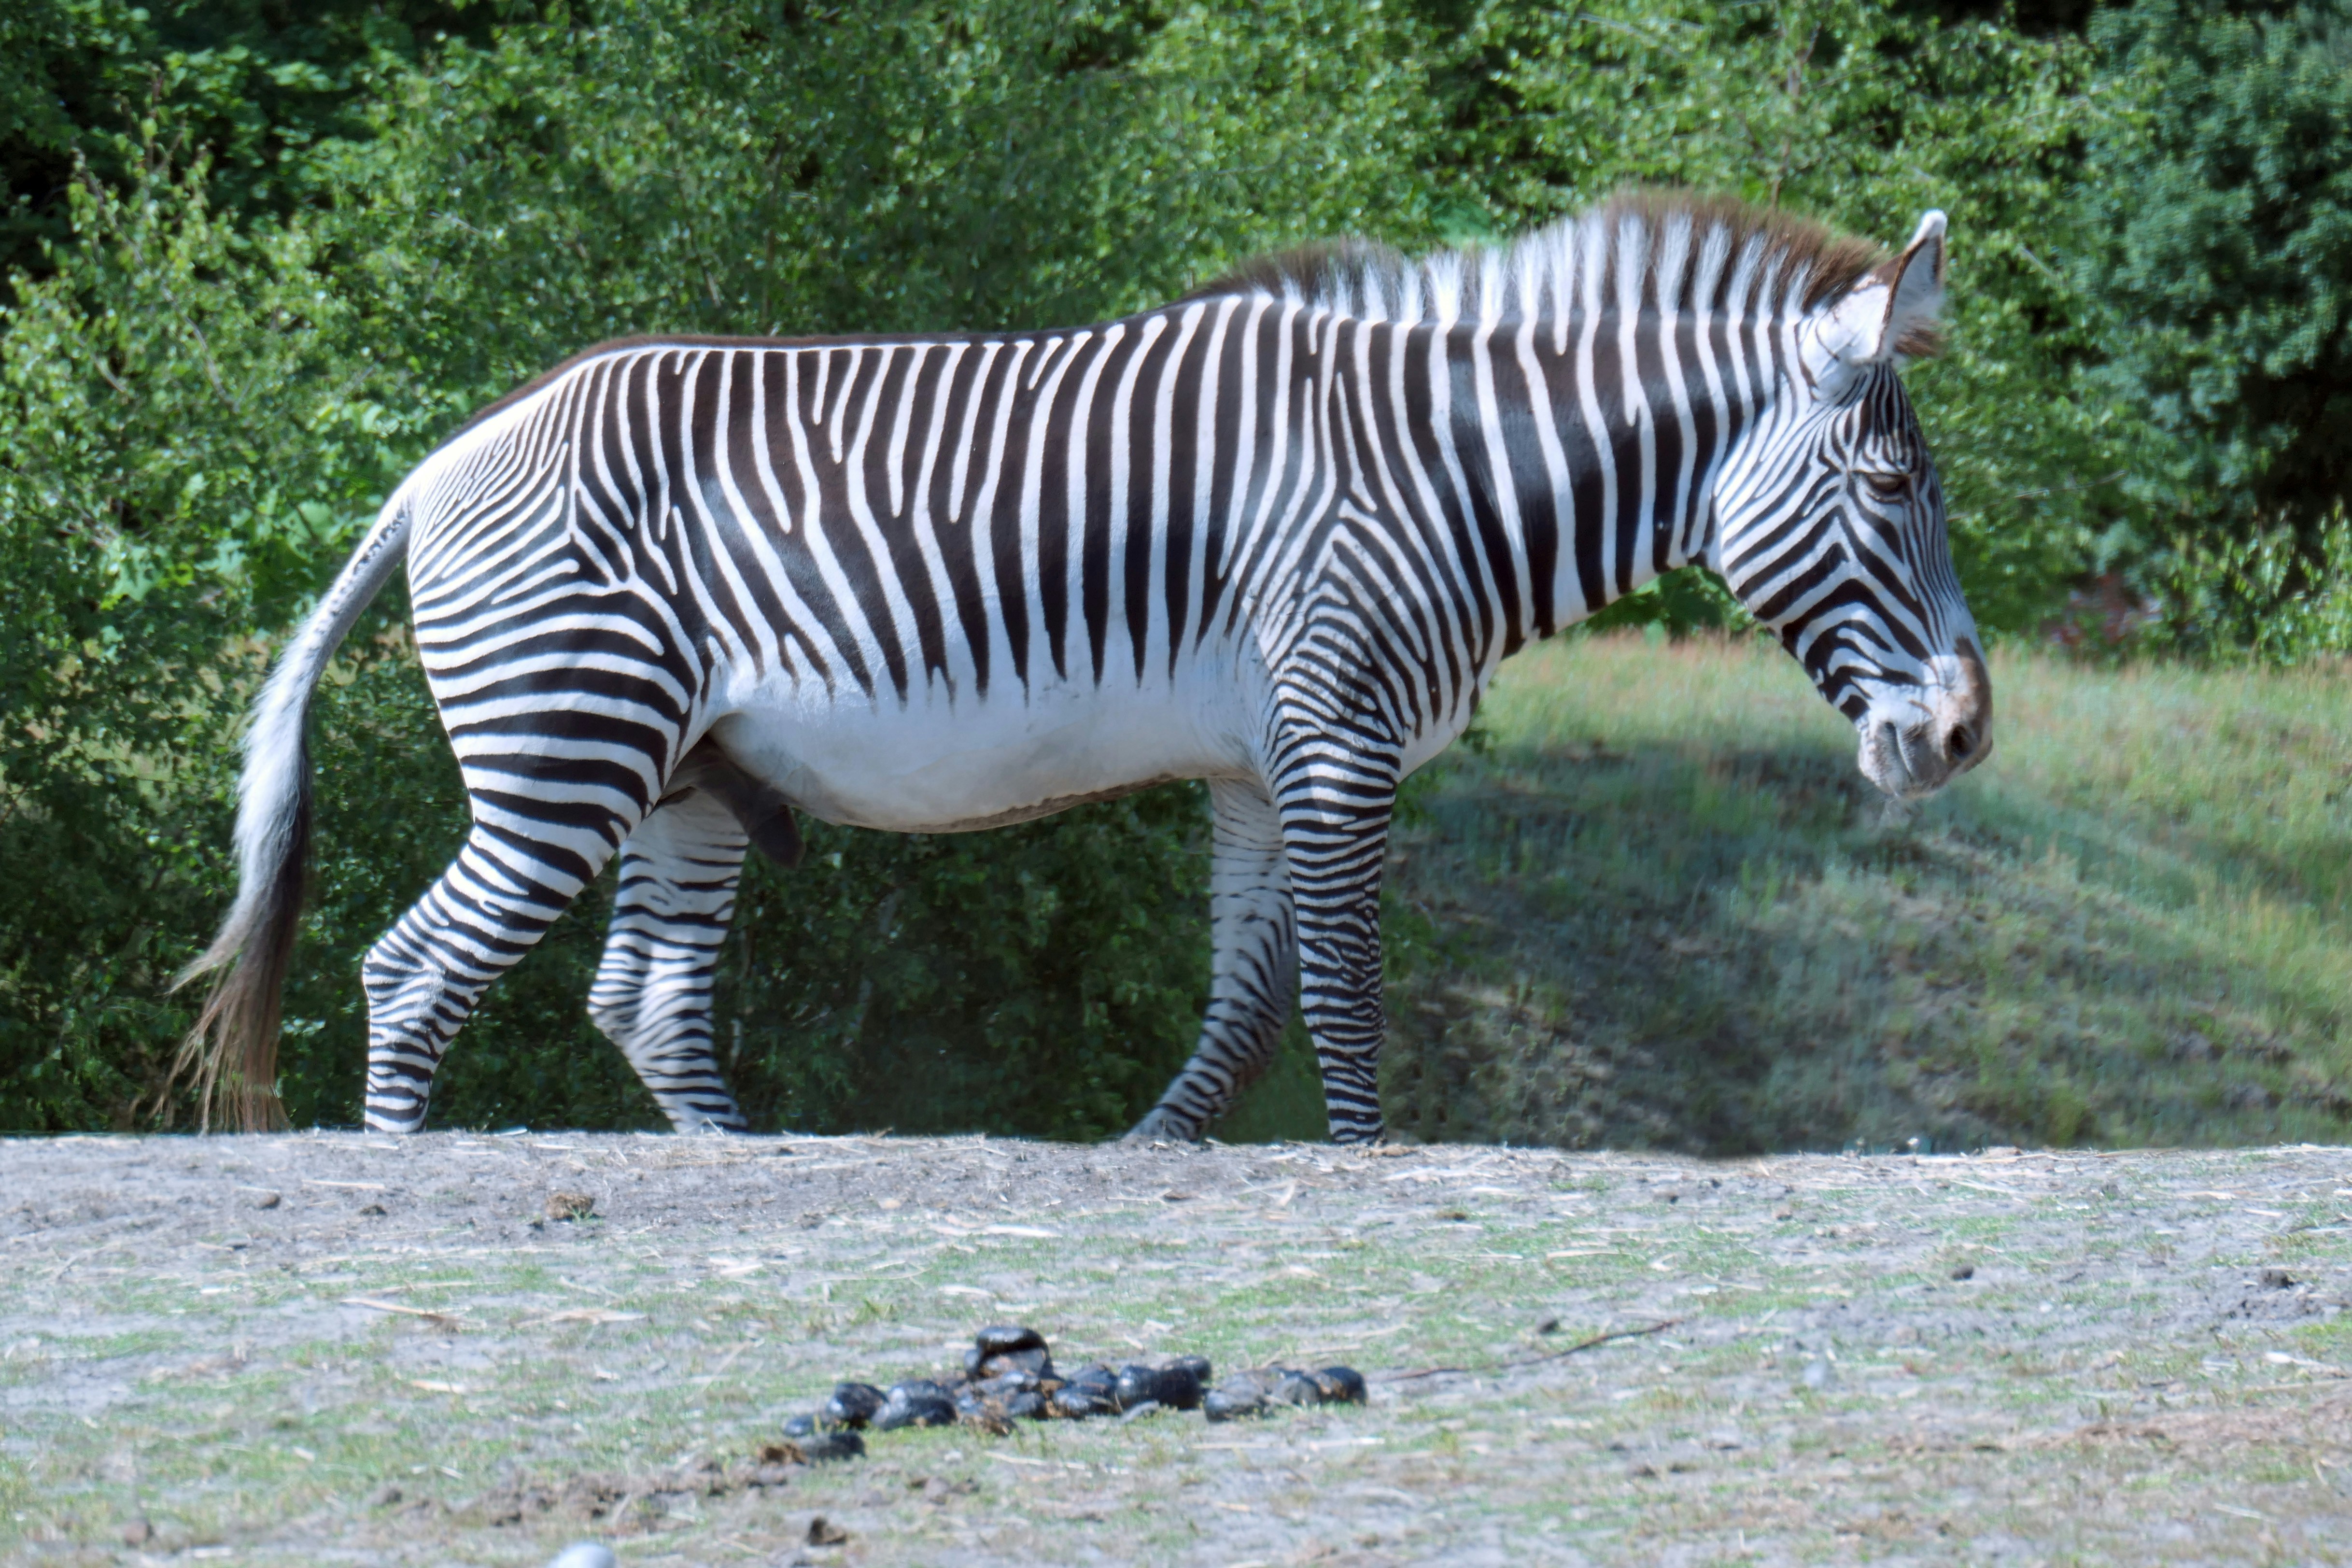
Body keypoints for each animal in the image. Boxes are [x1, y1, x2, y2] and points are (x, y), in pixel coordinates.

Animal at [175, 191, 1991, 1142]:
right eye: (1891, 487)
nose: (1970, 731)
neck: (1437, 473)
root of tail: (441, 465)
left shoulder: (1262, 763)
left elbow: (1248, 1007)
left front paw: (1154, 1147)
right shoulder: (1337, 734)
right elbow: (1343, 988)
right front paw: (1365, 1161)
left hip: (686, 773)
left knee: (646, 998)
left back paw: (740, 1155)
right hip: (571, 745)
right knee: (418, 968)